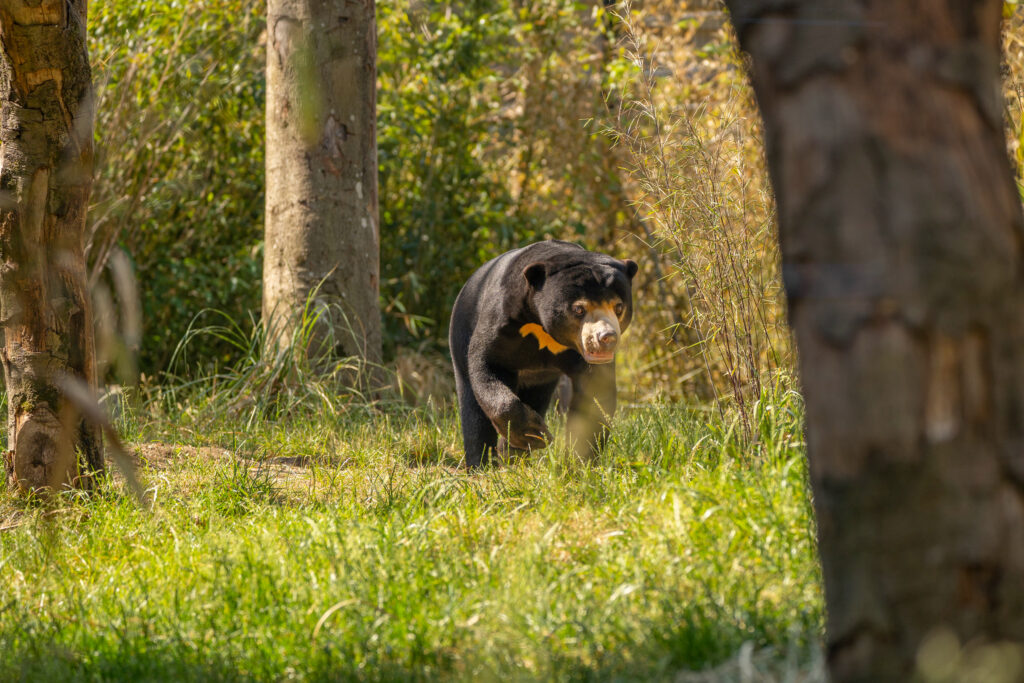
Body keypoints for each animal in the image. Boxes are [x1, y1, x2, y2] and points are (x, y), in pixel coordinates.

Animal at [449, 240, 638, 467]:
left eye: (618, 306)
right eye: (579, 309)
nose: (606, 338)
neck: (542, 328)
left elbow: (594, 393)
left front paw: (579, 461)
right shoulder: (502, 321)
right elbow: (487, 364)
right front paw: (534, 434)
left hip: (540, 380)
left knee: (535, 397)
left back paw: (512, 456)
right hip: (461, 332)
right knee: (472, 411)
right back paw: (481, 463)